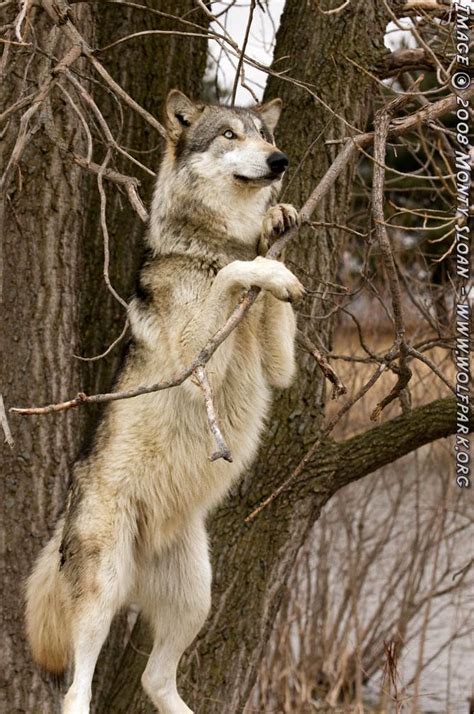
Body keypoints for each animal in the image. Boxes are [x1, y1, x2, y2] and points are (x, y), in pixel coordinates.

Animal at [25, 90, 304, 714]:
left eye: (265, 135)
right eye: (228, 135)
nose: (279, 161)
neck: (208, 242)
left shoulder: (279, 367)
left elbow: (272, 308)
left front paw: (279, 228)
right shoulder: (194, 363)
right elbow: (234, 272)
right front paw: (266, 266)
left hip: (195, 596)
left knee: (155, 679)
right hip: (103, 594)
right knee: (76, 689)